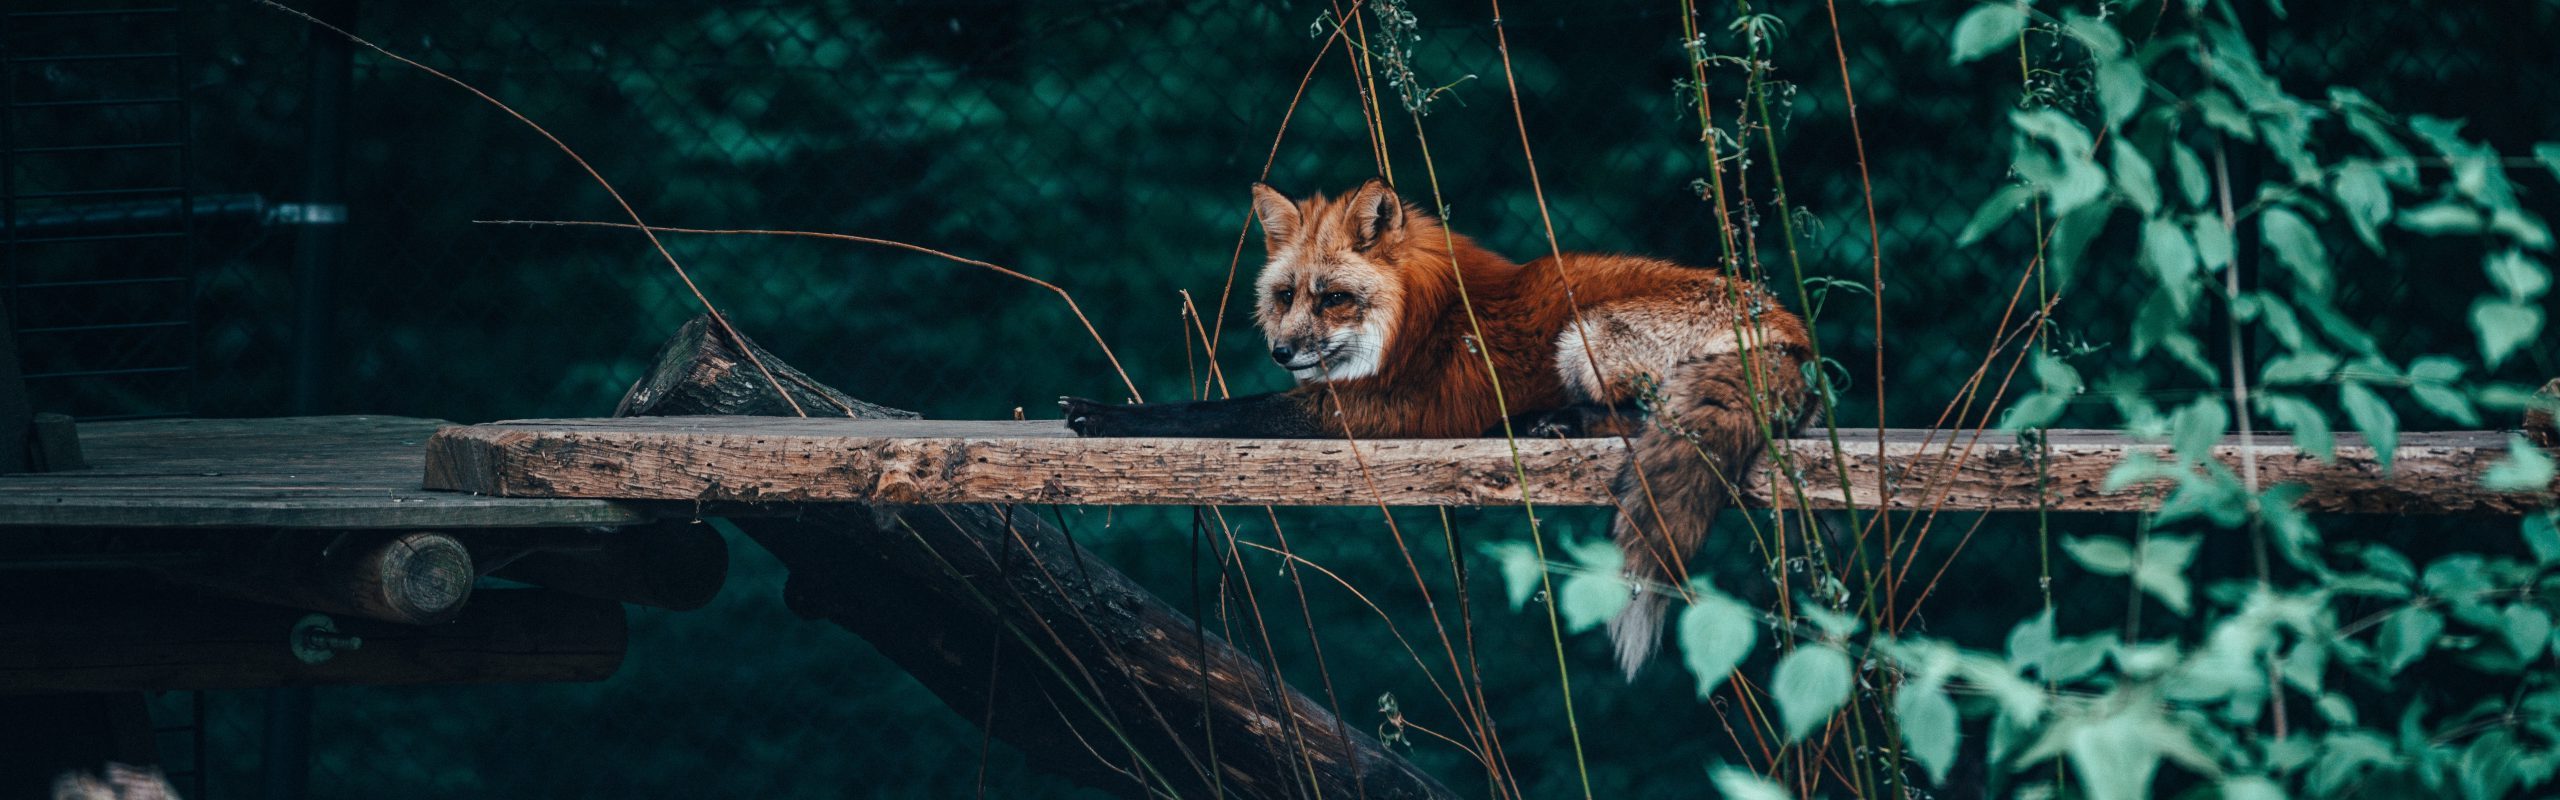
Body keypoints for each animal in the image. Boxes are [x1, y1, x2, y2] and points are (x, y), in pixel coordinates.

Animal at [1061, 178, 1812, 676]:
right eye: (1286, 295)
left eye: (1334, 299)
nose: (1281, 351)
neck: (1418, 318)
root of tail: (1793, 336)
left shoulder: (1366, 411)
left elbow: (1207, 409)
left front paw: (1101, 415)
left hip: (1583, 338)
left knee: (1635, 417)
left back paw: (1545, 421)